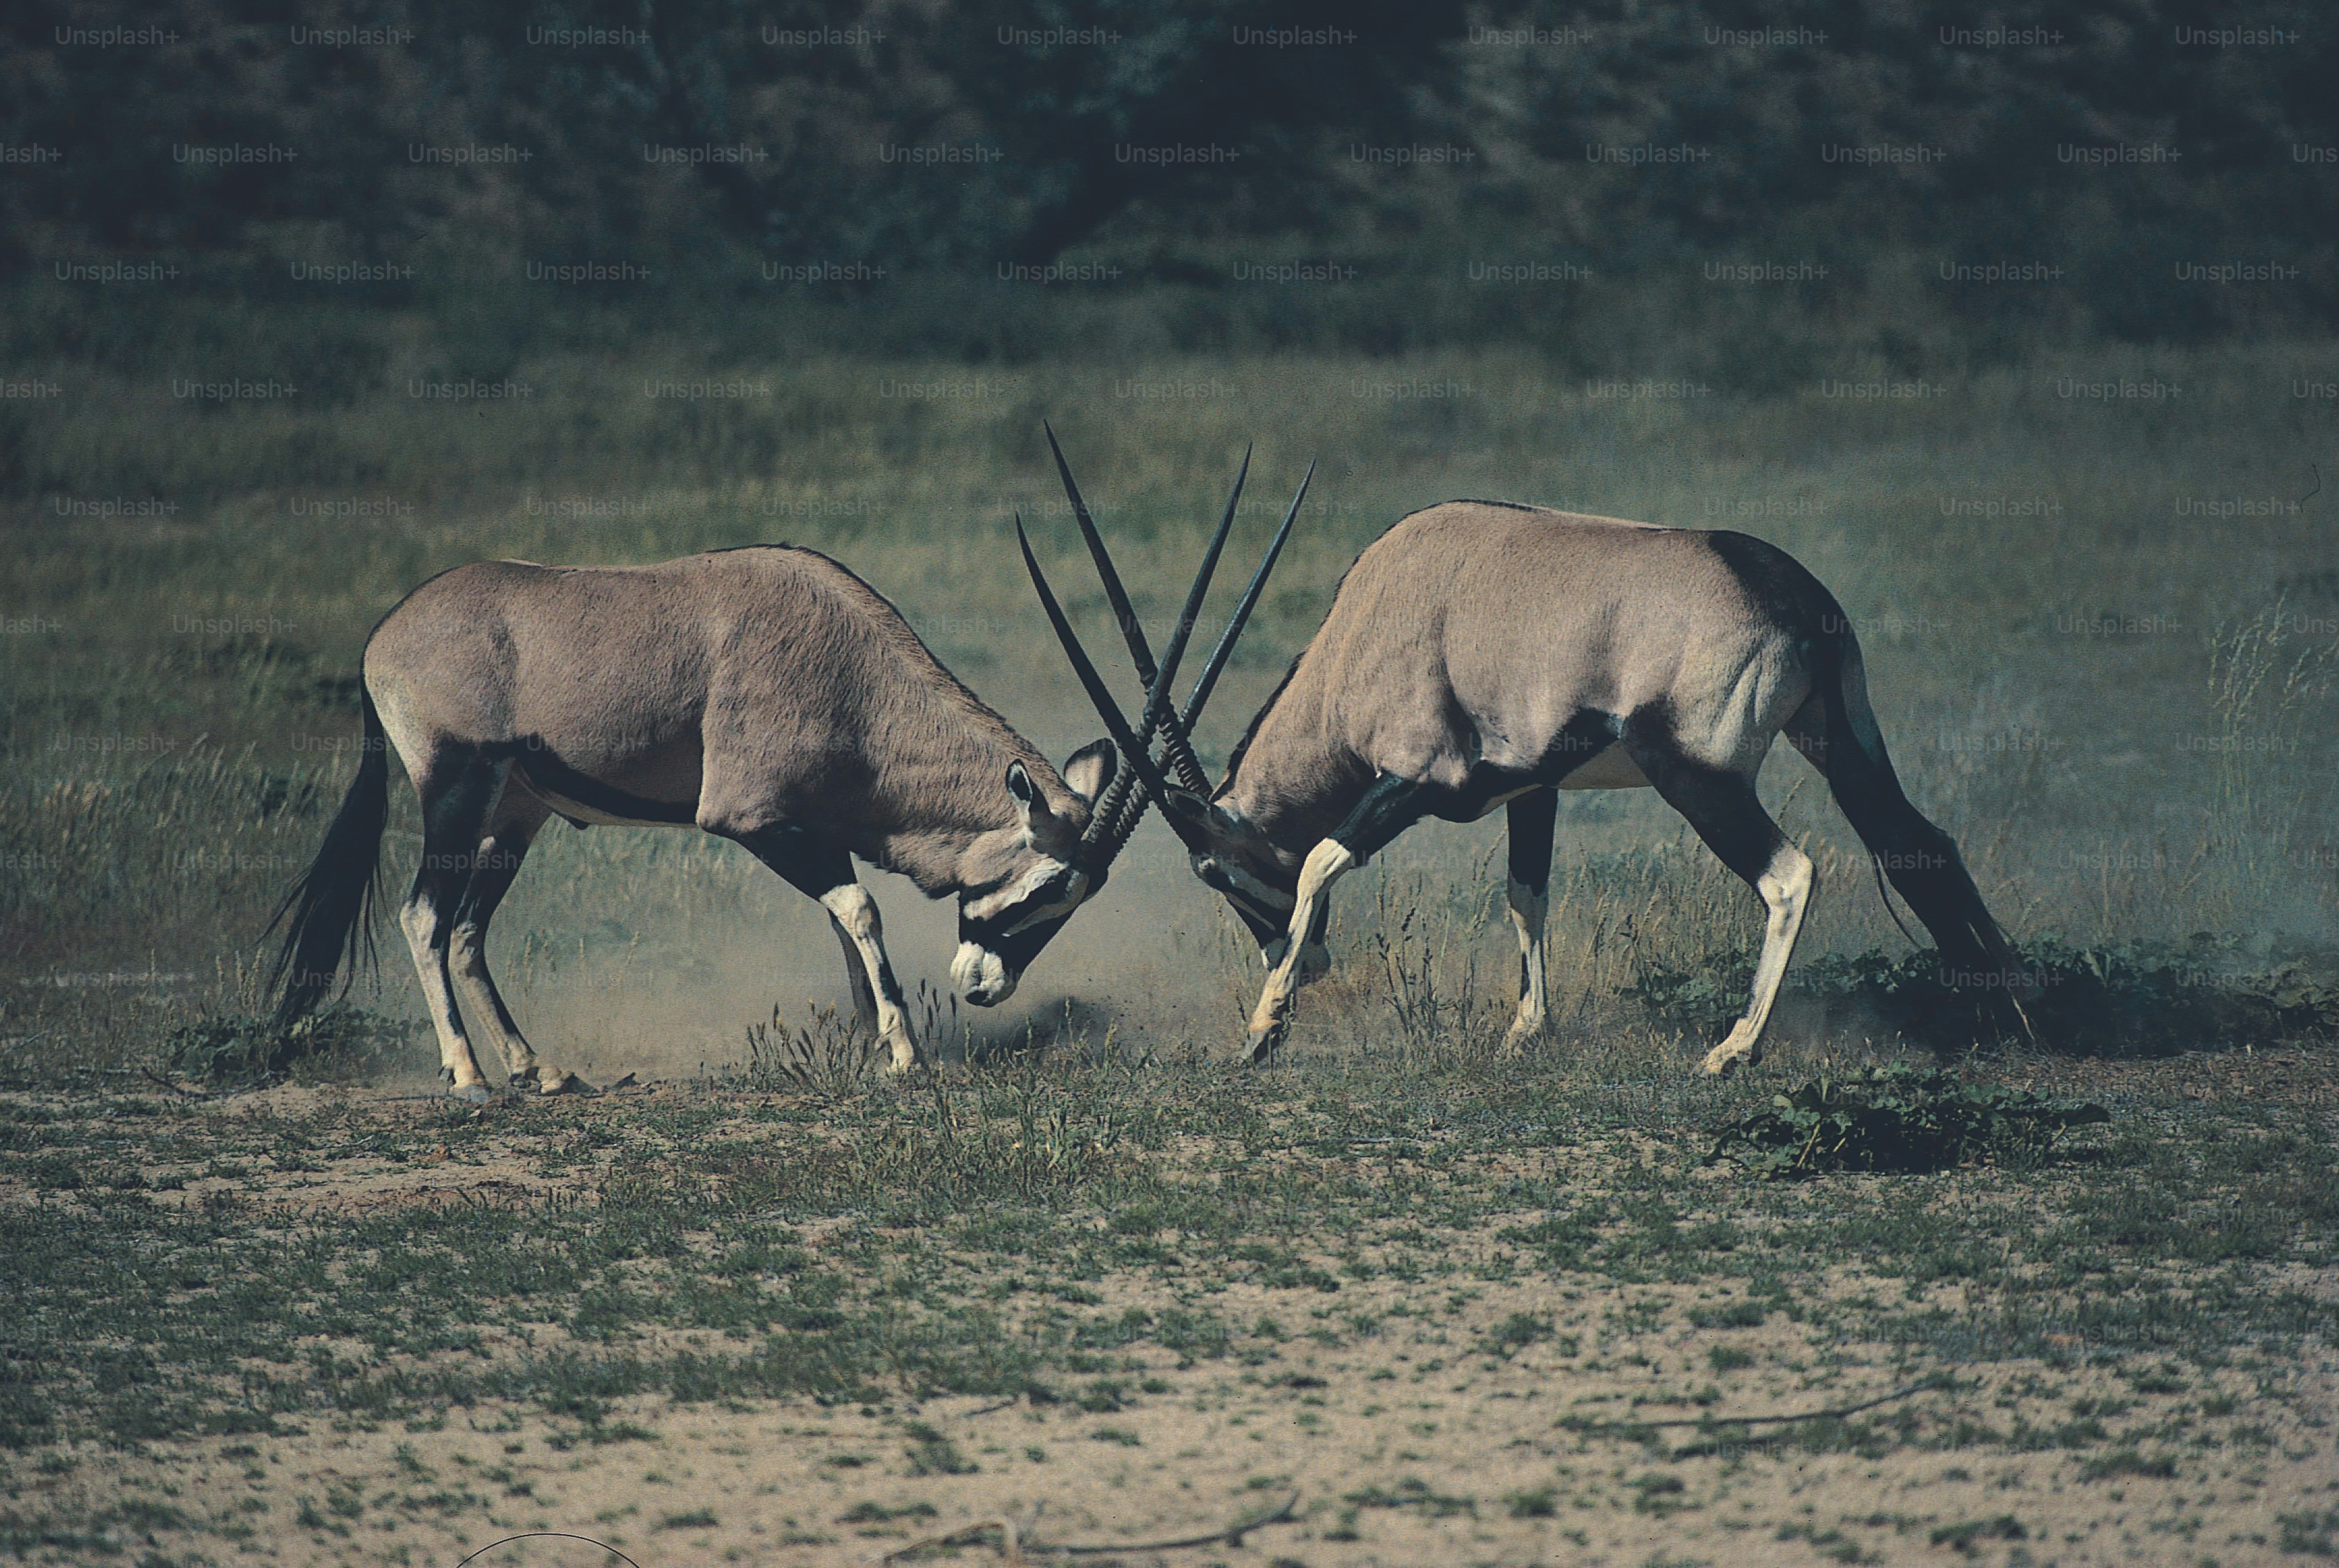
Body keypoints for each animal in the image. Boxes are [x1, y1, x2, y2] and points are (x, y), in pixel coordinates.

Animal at [265, 544, 1206, 1098]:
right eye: (1047, 887)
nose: (985, 985)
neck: (855, 678)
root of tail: (381, 637)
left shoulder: (816, 830)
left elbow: (844, 920)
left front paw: (868, 1041)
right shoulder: (752, 818)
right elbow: (862, 908)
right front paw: (903, 1052)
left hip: (515, 816)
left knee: (466, 928)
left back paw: (540, 1067)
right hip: (458, 790)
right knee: (423, 914)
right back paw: (465, 1074)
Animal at [1025, 460, 2027, 1074]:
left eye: (1214, 870)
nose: (1297, 965)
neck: (1370, 621)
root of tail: (1789, 594)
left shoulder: (1416, 782)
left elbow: (1316, 860)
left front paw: (1261, 1031)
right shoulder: (1529, 788)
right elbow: (1524, 893)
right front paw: (1522, 1031)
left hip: (1698, 777)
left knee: (1789, 874)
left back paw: (1733, 1048)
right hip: (1841, 743)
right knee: (1921, 844)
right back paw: (2007, 1008)